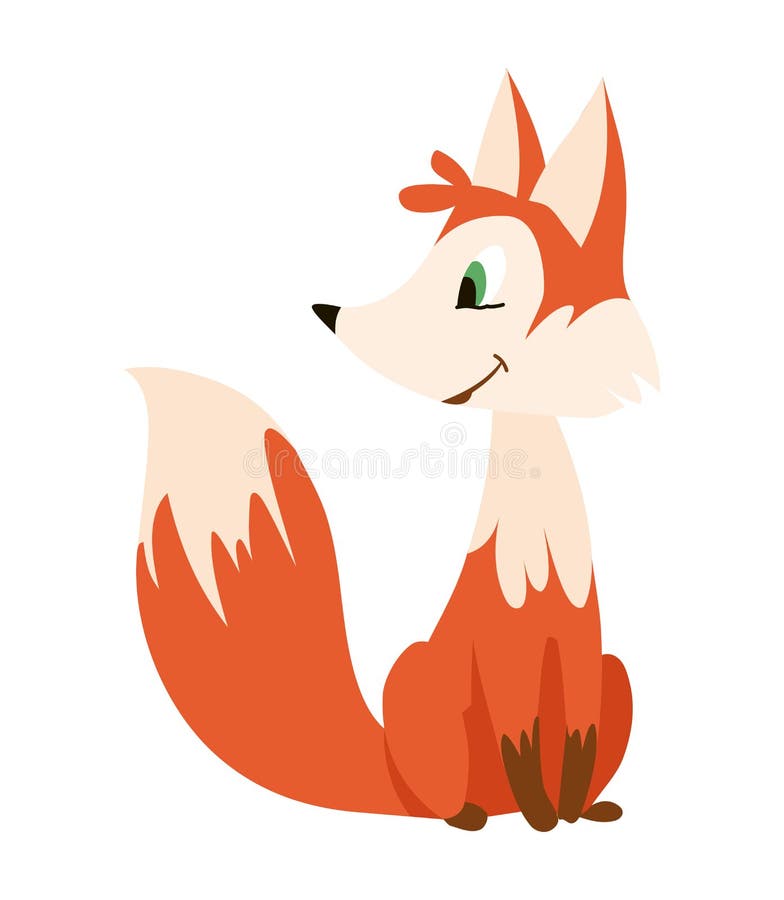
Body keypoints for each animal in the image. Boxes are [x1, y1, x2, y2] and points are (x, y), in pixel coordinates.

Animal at [132, 73, 658, 832]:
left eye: (474, 286)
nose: (331, 315)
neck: (536, 555)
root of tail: (390, 778)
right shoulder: (501, 666)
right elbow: (520, 739)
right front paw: (540, 814)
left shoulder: (585, 665)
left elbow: (574, 746)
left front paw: (565, 811)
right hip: (419, 681)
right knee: (444, 797)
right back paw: (472, 813)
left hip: (620, 679)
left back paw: (574, 809)